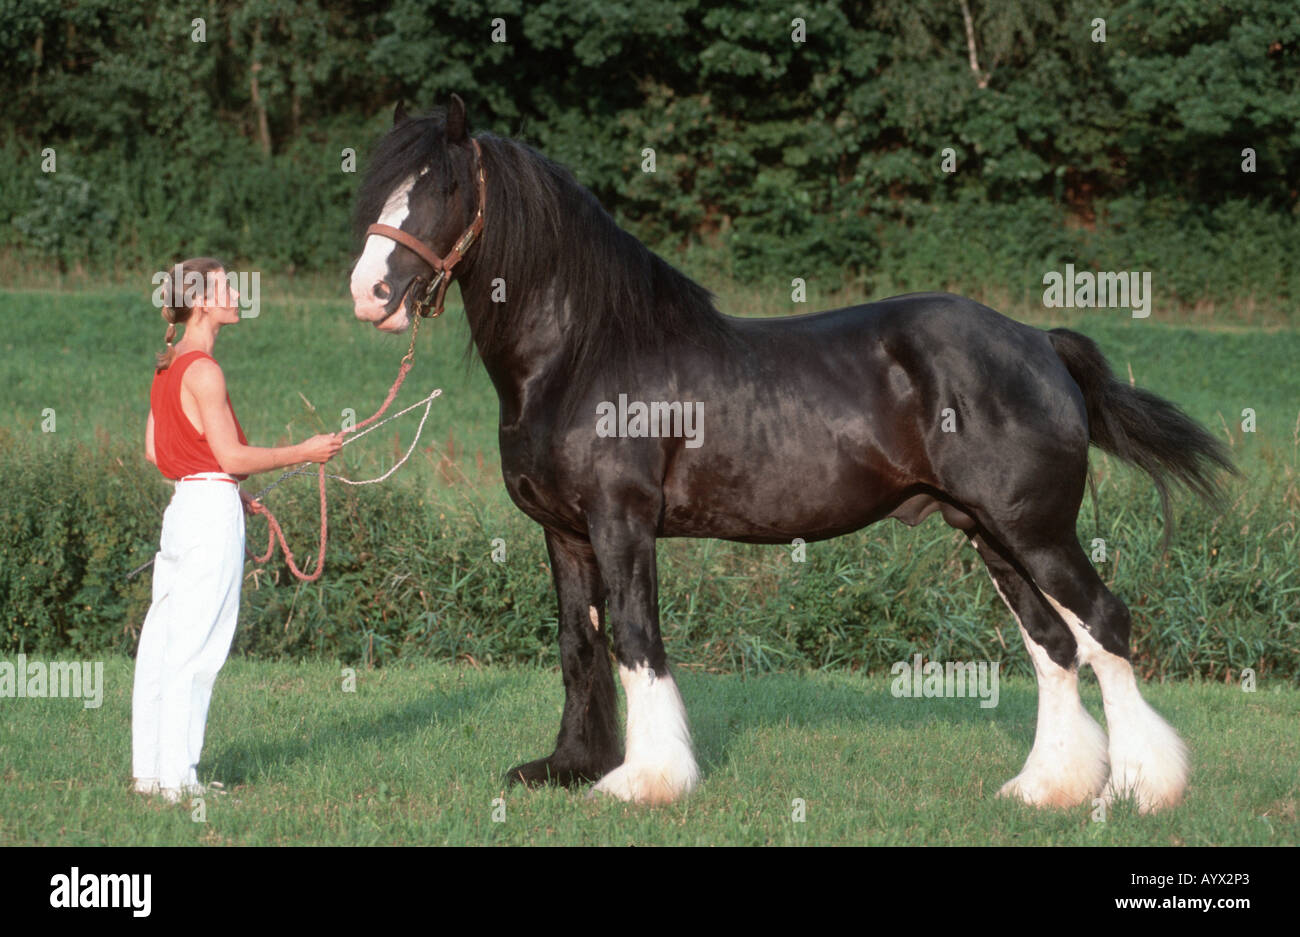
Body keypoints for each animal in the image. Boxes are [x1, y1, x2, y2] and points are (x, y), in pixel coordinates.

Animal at [347, 96, 1234, 812]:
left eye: (443, 188)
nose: (368, 294)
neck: (584, 351)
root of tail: (1039, 343)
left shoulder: (620, 521)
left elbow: (635, 636)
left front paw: (646, 779)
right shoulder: (562, 531)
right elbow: (579, 643)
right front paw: (570, 766)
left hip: (1035, 529)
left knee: (1104, 625)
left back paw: (1139, 790)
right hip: (991, 532)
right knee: (1054, 645)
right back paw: (1046, 786)